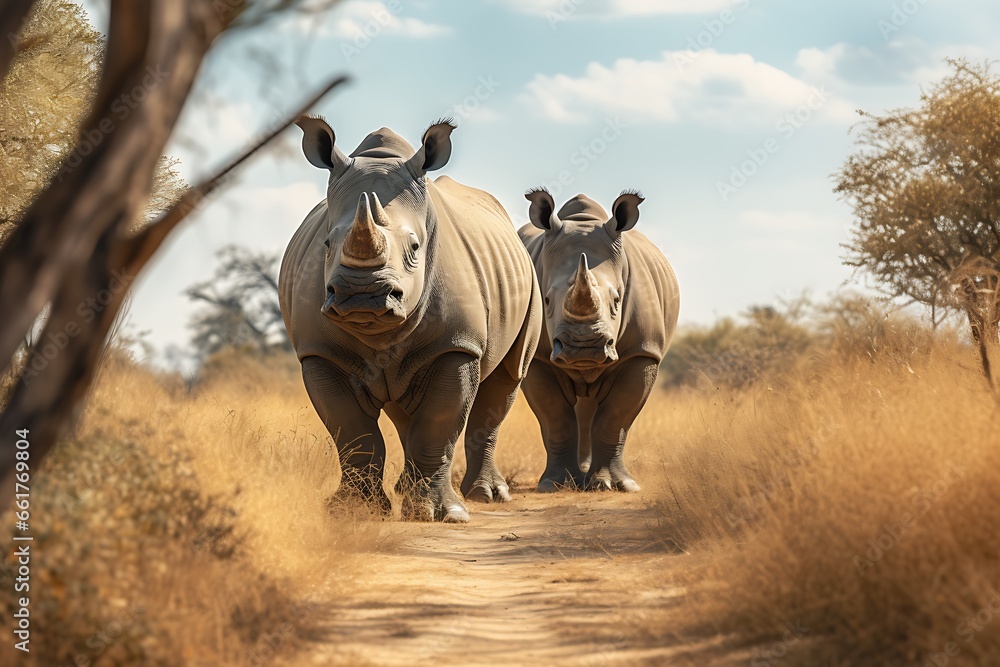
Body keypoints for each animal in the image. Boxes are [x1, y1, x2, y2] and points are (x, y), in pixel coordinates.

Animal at [279, 117, 541, 522]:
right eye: (326, 244)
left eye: (416, 247)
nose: (362, 294)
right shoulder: (320, 351)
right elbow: (352, 431)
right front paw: (353, 511)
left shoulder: (455, 345)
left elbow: (438, 423)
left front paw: (442, 515)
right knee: (402, 406)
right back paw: (407, 488)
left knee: (506, 380)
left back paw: (488, 495)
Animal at [517, 189, 679, 492]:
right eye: (546, 300)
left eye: (617, 300)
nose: (584, 348)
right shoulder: (537, 357)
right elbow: (556, 418)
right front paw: (555, 484)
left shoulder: (641, 352)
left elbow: (614, 419)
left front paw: (615, 485)